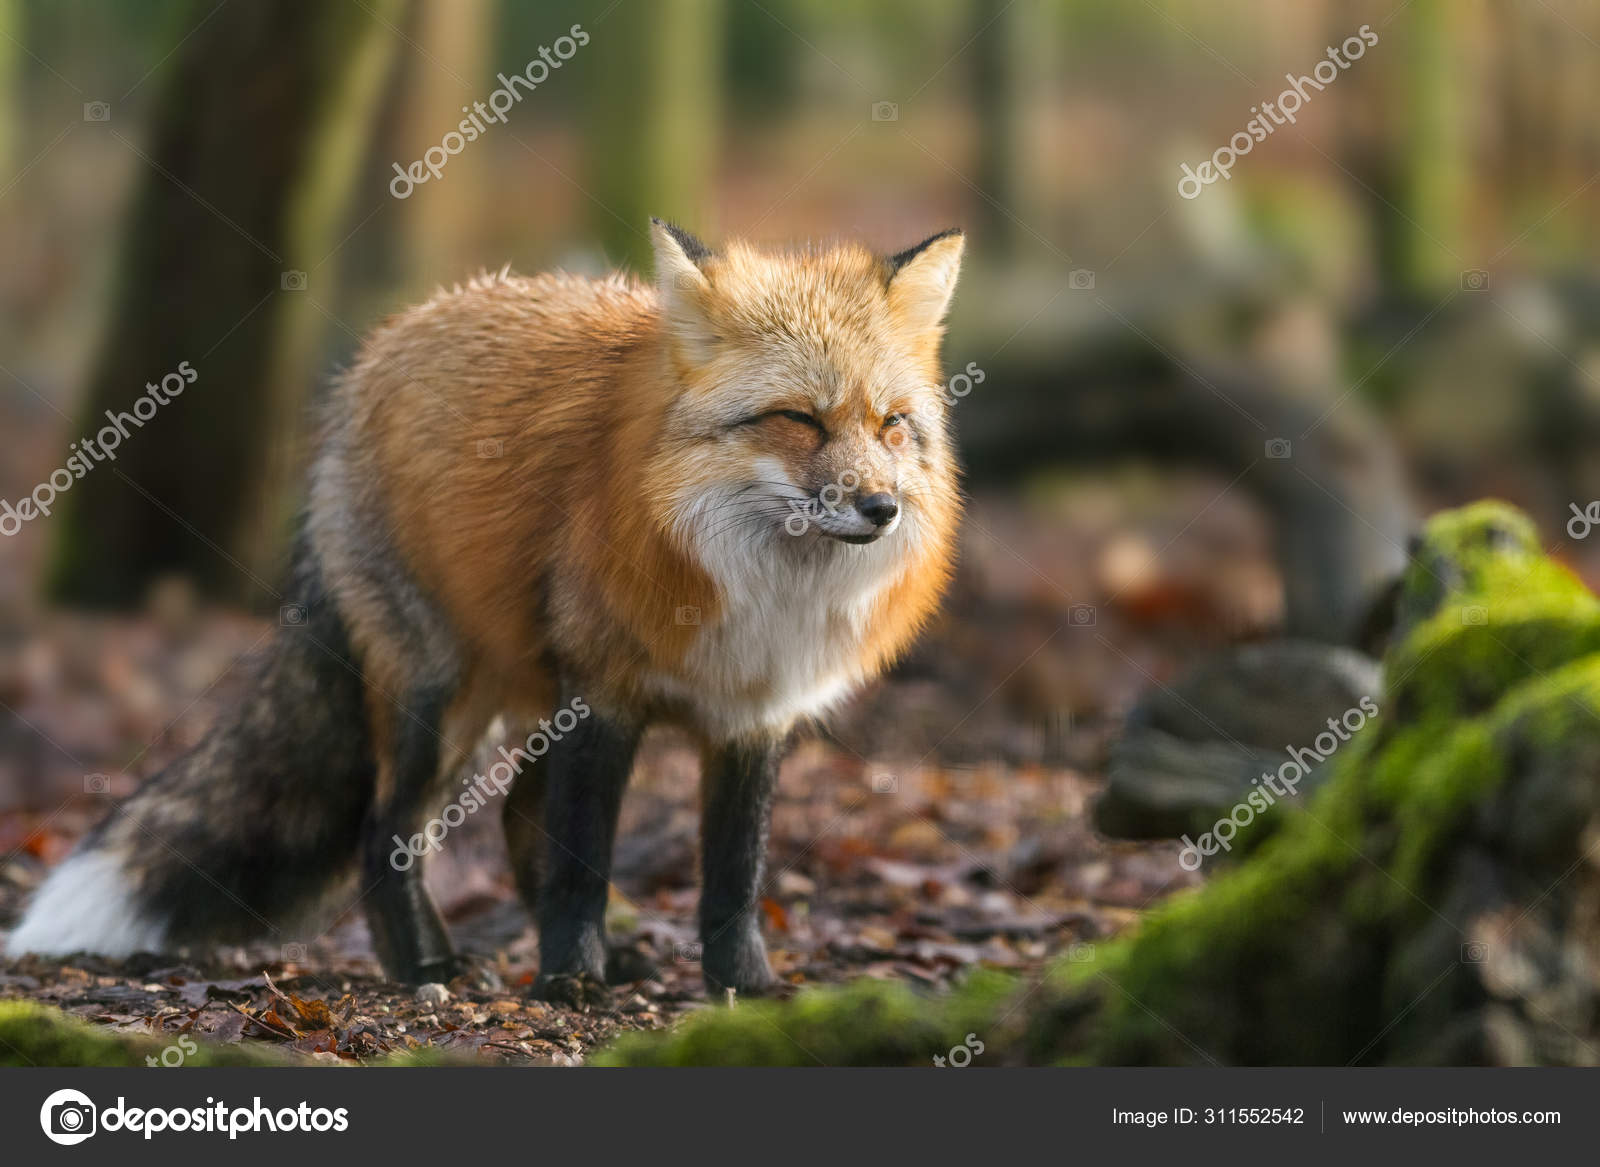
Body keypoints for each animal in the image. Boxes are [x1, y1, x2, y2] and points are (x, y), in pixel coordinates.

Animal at [8, 220, 965, 1002]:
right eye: (800, 419)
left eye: (891, 424)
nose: (880, 508)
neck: (763, 588)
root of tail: (378, 351)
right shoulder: (601, 701)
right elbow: (582, 865)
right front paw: (568, 982)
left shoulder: (750, 718)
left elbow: (735, 877)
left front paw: (745, 986)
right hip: (441, 701)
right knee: (386, 831)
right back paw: (426, 966)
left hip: (522, 704)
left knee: (510, 820)